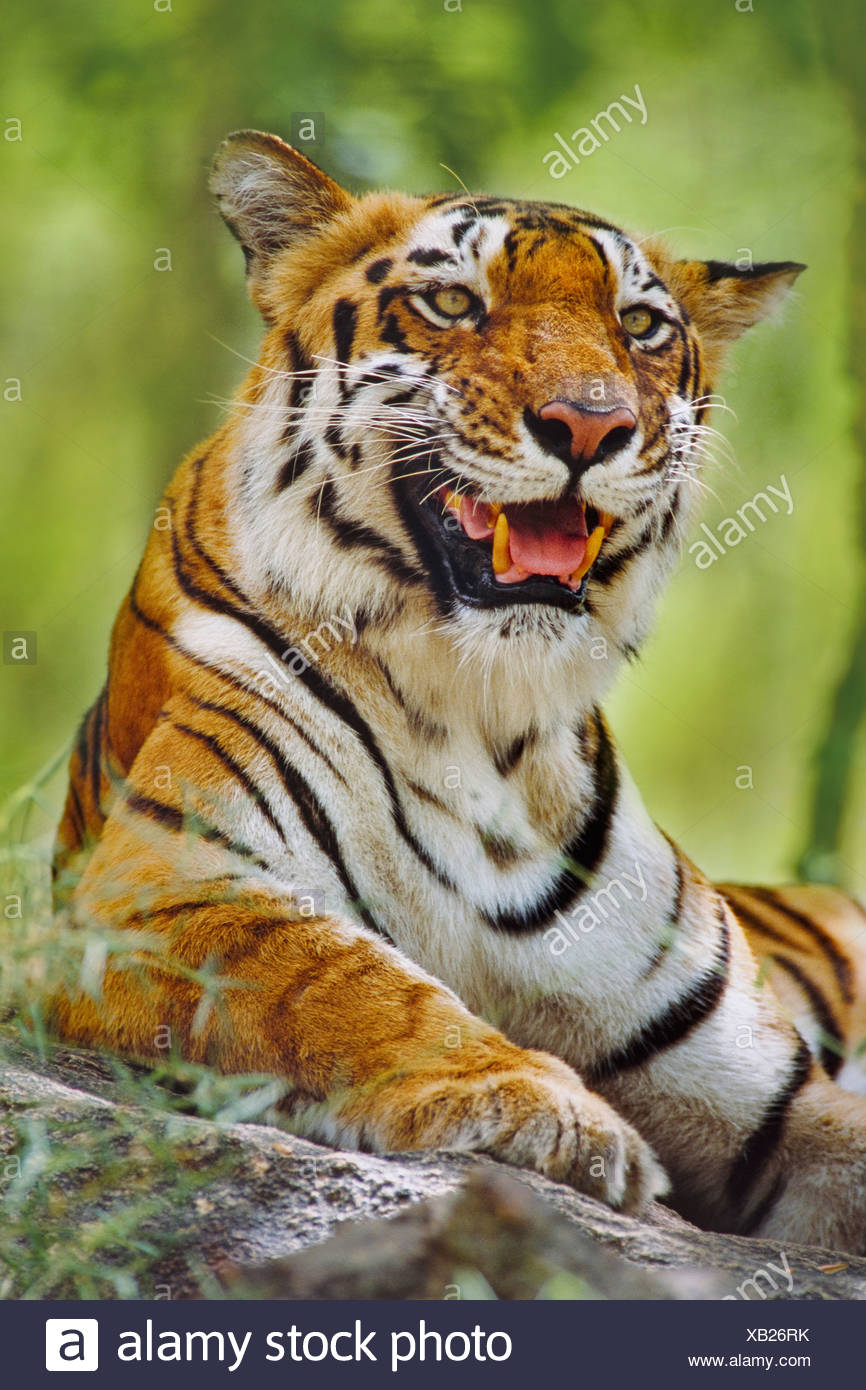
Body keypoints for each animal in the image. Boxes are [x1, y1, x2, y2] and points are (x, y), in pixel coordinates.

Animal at [48, 129, 866, 1255]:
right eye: (452, 303)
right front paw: (541, 1109)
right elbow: (343, 981)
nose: (589, 426)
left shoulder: (757, 1079)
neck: (486, 721)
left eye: (639, 326)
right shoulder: (166, 886)